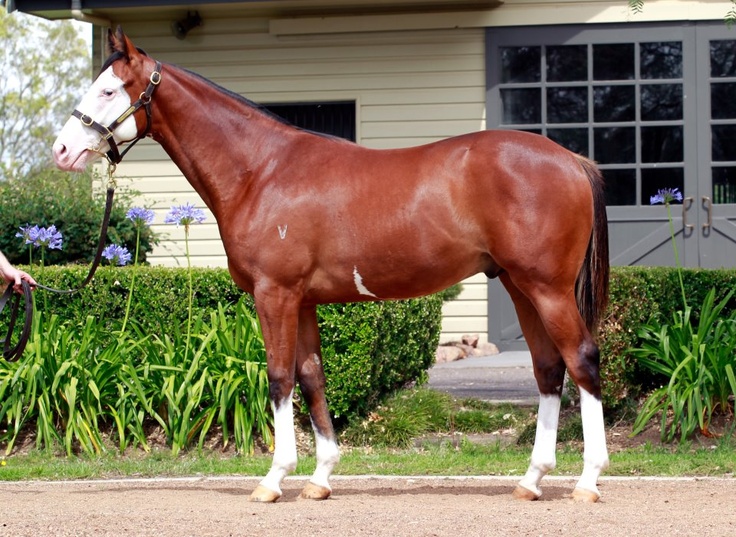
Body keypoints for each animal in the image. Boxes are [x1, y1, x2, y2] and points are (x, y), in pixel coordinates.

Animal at [53, 28, 610, 503]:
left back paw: (587, 481)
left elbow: (279, 377)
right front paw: (319, 479)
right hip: (520, 286)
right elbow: (311, 377)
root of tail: (573, 160)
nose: (61, 150)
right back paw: (531, 481)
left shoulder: (274, 294)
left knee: (581, 359)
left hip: (548, 288)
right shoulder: (302, 301)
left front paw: (273, 479)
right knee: (548, 368)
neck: (261, 171)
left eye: (108, 90)